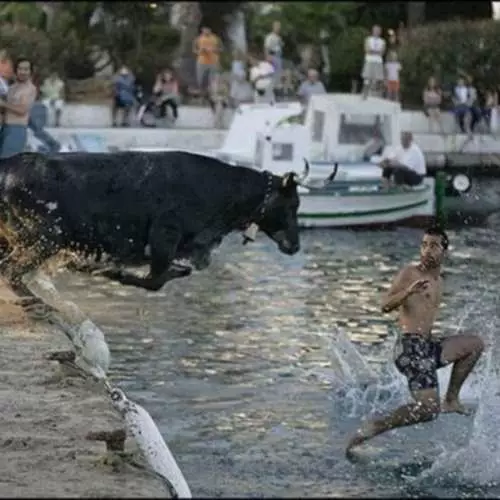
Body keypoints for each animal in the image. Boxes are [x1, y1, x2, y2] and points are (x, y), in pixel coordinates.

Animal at [0, 147, 336, 300]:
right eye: (292, 204)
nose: (295, 246)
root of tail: (10, 165)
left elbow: (174, 273)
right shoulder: (164, 237)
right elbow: (155, 280)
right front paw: (108, 271)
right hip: (47, 237)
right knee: (12, 272)